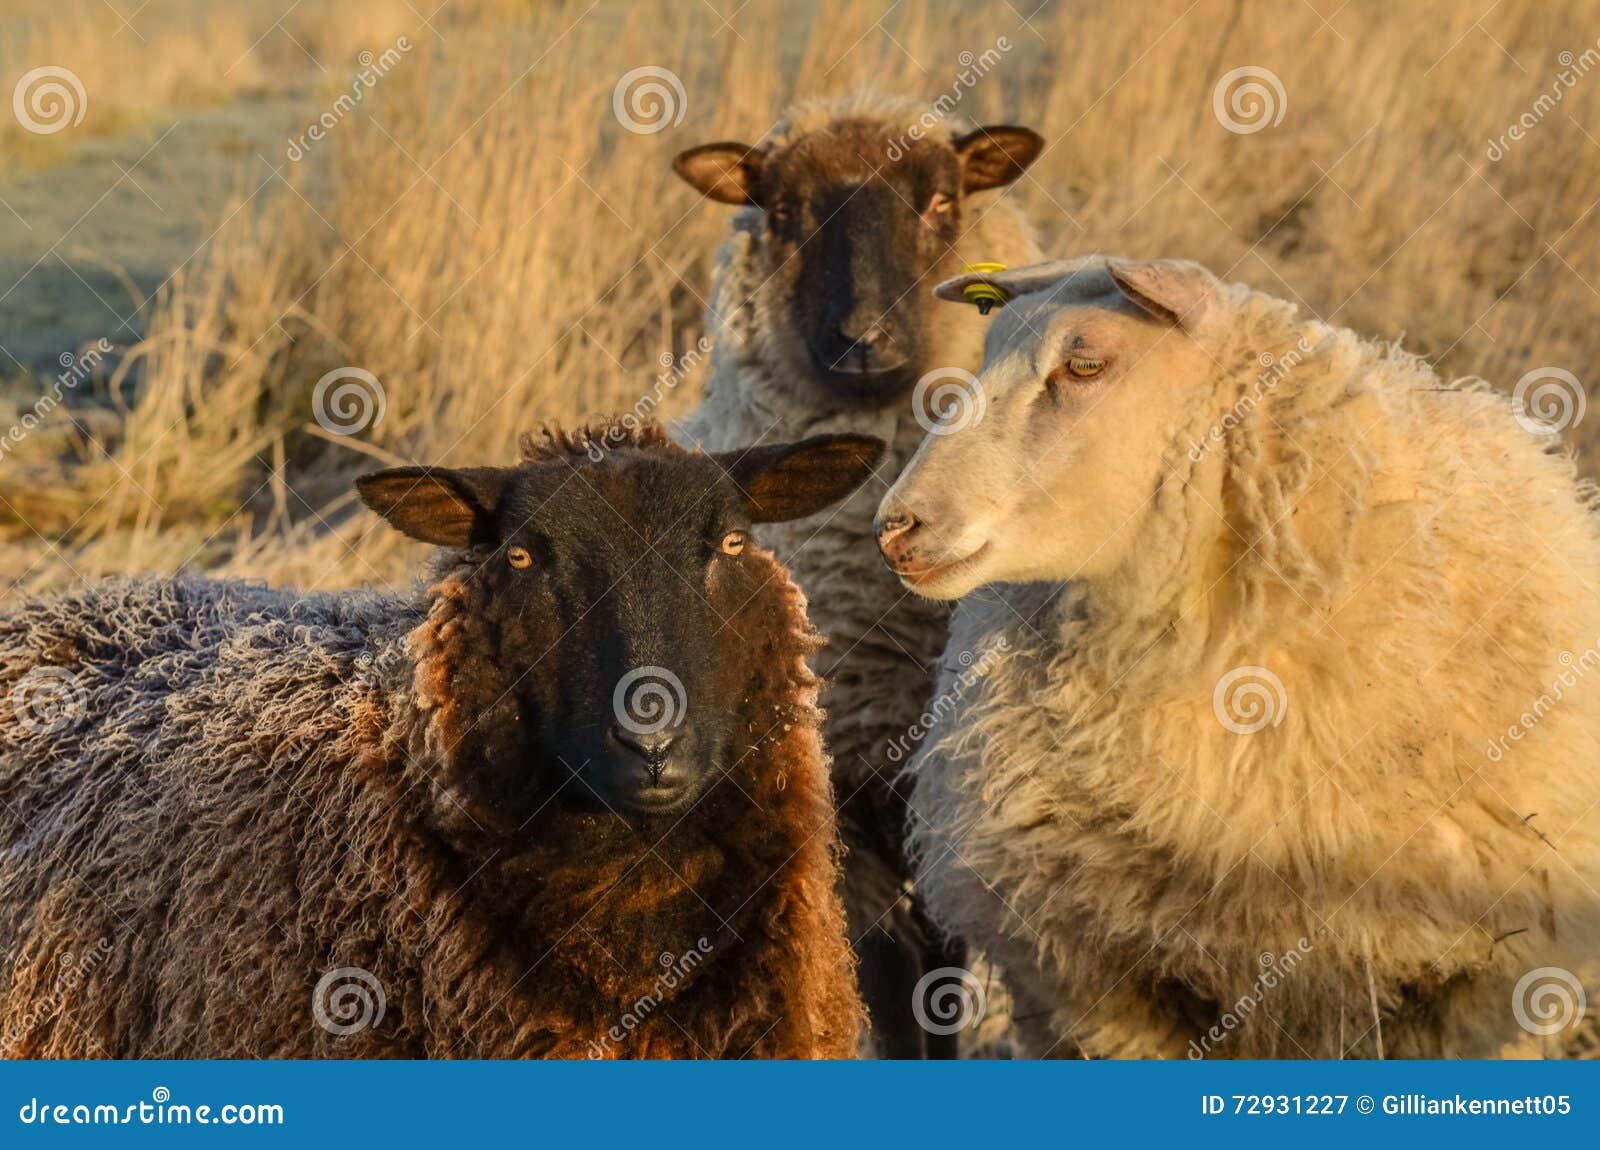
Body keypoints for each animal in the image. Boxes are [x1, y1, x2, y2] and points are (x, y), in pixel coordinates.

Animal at [671, 93, 1044, 1056]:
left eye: (942, 199)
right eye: (783, 210)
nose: (865, 340)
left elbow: (939, 992)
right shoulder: (839, 814)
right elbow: (884, 995)